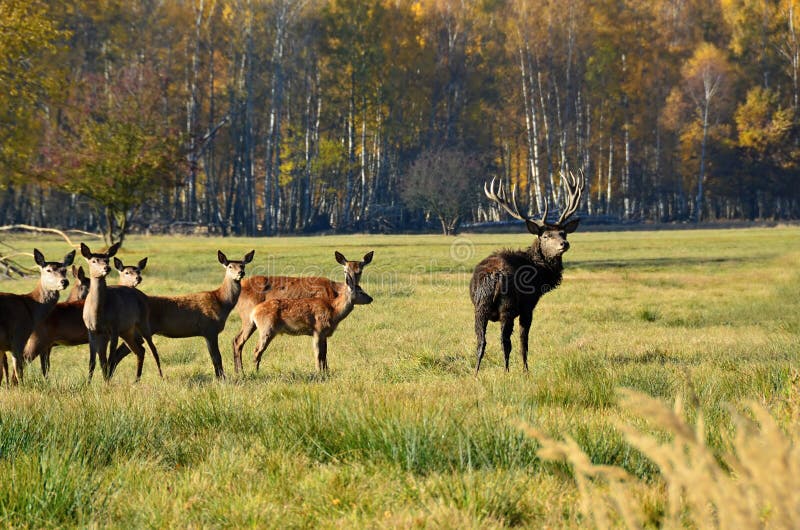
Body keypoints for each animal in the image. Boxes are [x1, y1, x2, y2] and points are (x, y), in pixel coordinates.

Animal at [0, 249, 75, 385]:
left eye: (64, 270)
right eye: (48, 270)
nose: (64, 281)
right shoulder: (19, 336)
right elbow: (19, 370)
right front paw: (22, 387)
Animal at [80, 242, 162, 381]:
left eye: (107, 260)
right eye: (93, 260)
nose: (107, 268)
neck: (98, 314)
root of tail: (143, 296)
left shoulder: (113, 328)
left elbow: (109, 359)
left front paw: (107, 382)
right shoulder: (91, 331)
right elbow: (94, 361)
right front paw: (89, 383)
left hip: (143, 322)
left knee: (153, 350)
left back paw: (161, 377)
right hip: (126, 331)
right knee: (140, 350)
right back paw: (136, 380)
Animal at [107, 250, 255, 380]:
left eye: (243, 265)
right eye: (230, 266)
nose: (241, 272)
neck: (221, 302)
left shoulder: (207, 332)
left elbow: (214, 358)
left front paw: (220, 378)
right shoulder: (210, 329)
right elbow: (217, 357)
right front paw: (222, 379)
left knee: (122, 352)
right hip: (137, 330)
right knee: (124, 352)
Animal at [231, 251, 374, 374]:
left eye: (360, 271)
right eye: (345, 270)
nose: (352, 283)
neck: (334, 296)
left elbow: (324, 352)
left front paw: (325, 371)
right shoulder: (319, 328)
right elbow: (322, 353)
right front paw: (322, 372)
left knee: (237, 341)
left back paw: (239, 371)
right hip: (249, 318)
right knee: (239, 341)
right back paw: (242, 371)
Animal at [471, 171, 584, 373]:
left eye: (563, 233)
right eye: (546, 236)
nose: (564, 244)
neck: (540, 277)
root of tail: (495, 277)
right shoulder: (528, 306)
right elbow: (524, 342)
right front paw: (526, 371)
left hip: (480, 305)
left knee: (481, 341)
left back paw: (476, 373)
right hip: (507, 306)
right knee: (505, 341)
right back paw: (507, 372)